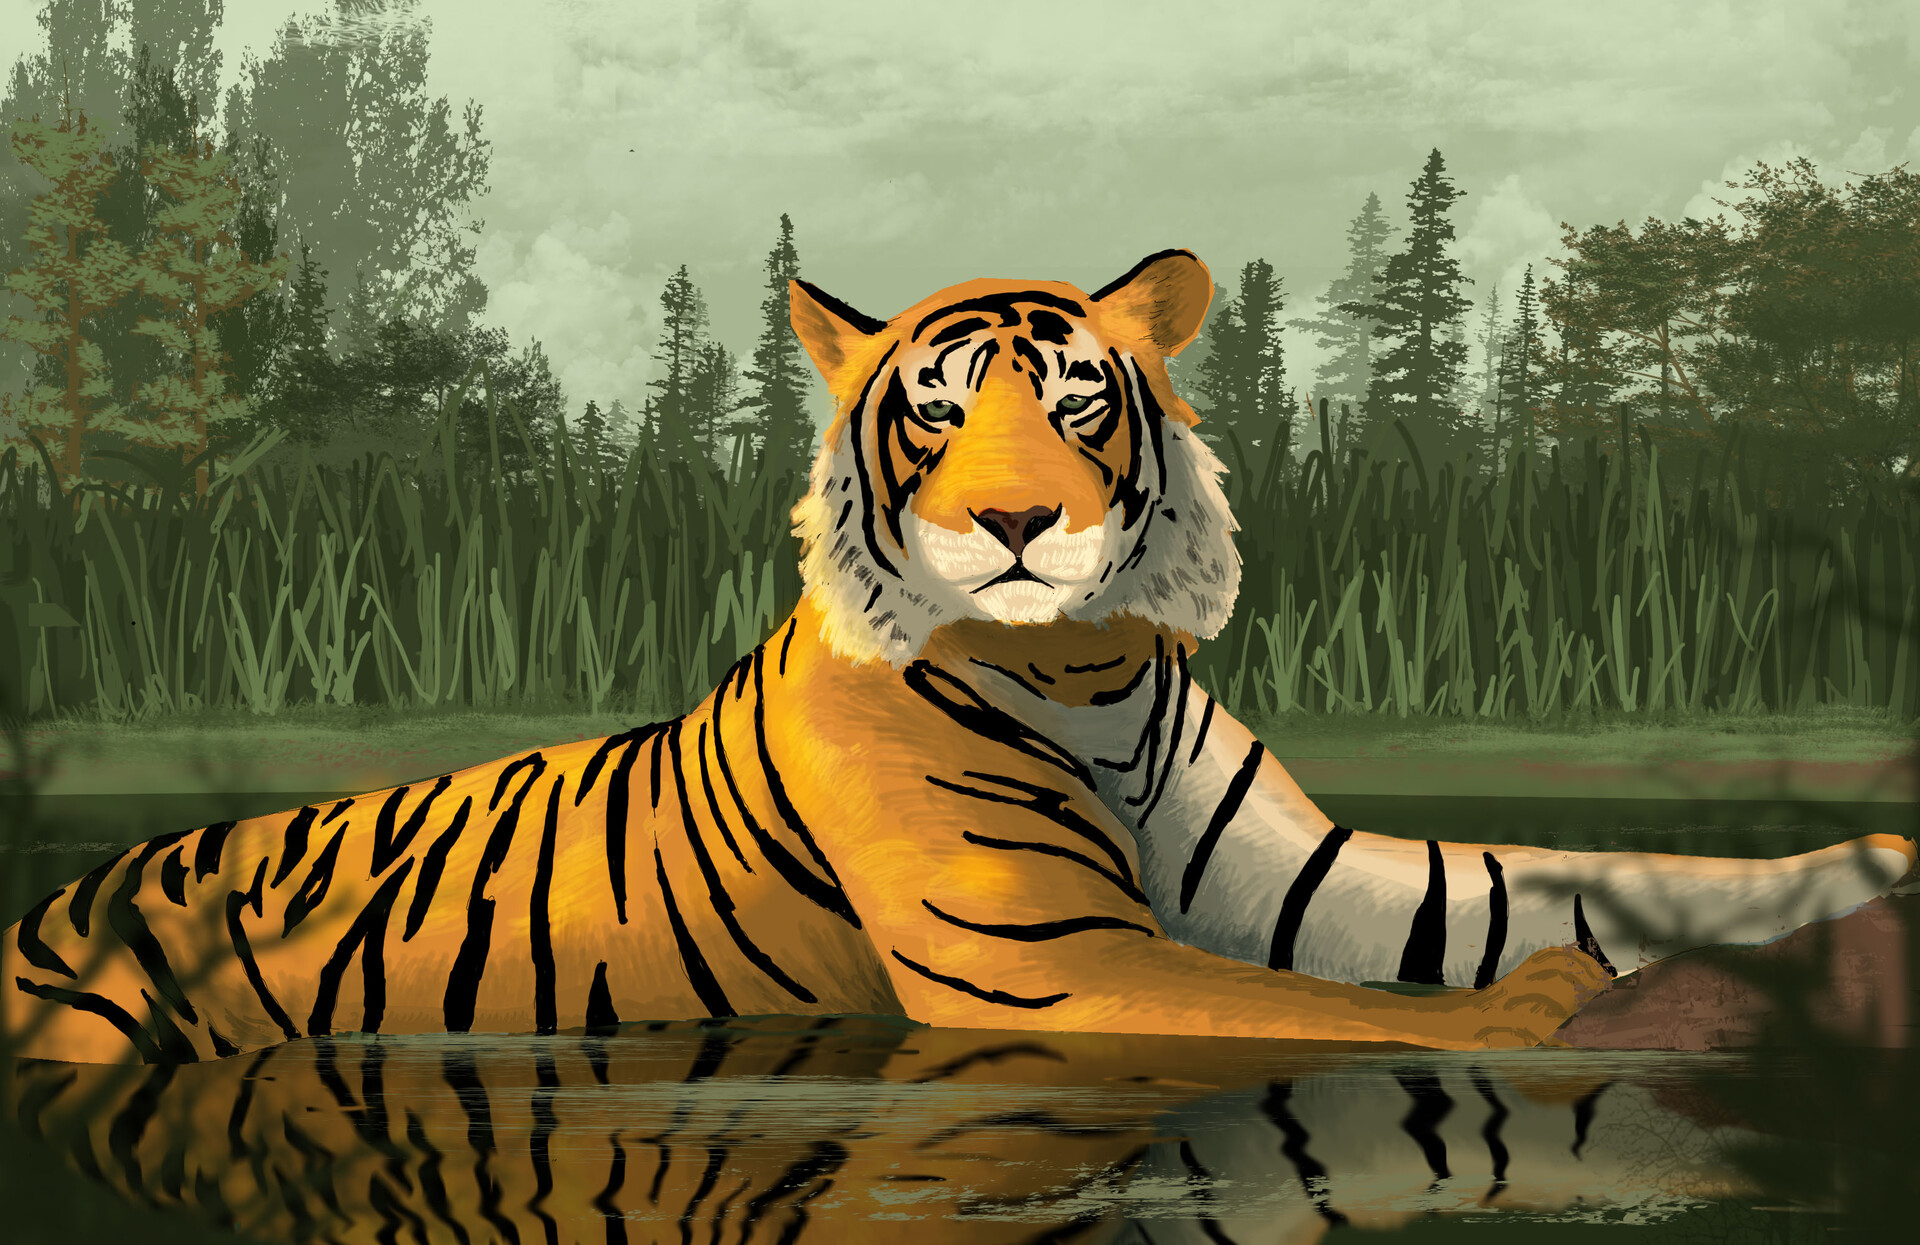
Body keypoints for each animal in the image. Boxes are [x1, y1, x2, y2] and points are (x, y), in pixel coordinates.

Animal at [2, 249, 1913, 1066]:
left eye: (1072, 398)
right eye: (934, 406)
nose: (1013, 522)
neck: (1095, 677)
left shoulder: (1309, 879)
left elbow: (1600, 875)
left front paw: (1873, 858)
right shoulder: (1056, 965)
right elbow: (1329, 1006)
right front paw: (1524, 1010)